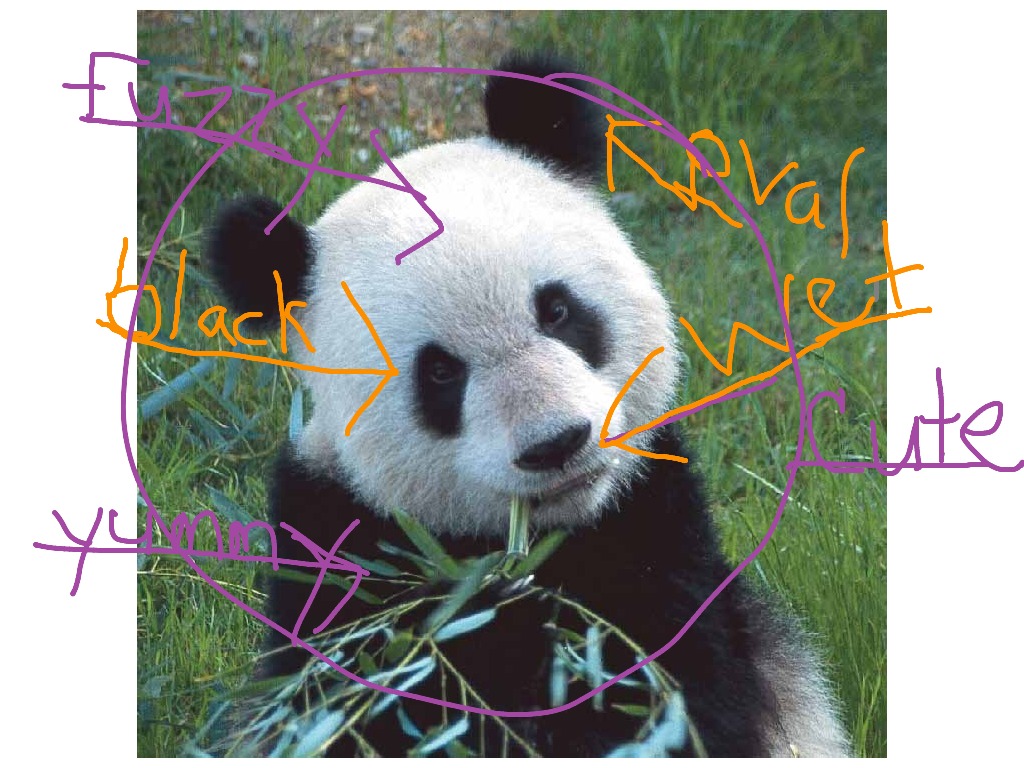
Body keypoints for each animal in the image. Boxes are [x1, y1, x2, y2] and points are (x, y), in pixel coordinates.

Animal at [205, 53, 851, 758]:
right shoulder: (346, 558)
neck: (530, 553)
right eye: (440, 372)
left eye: (558, 310)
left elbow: (688, 694)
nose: (557, 443)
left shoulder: (659, 536)